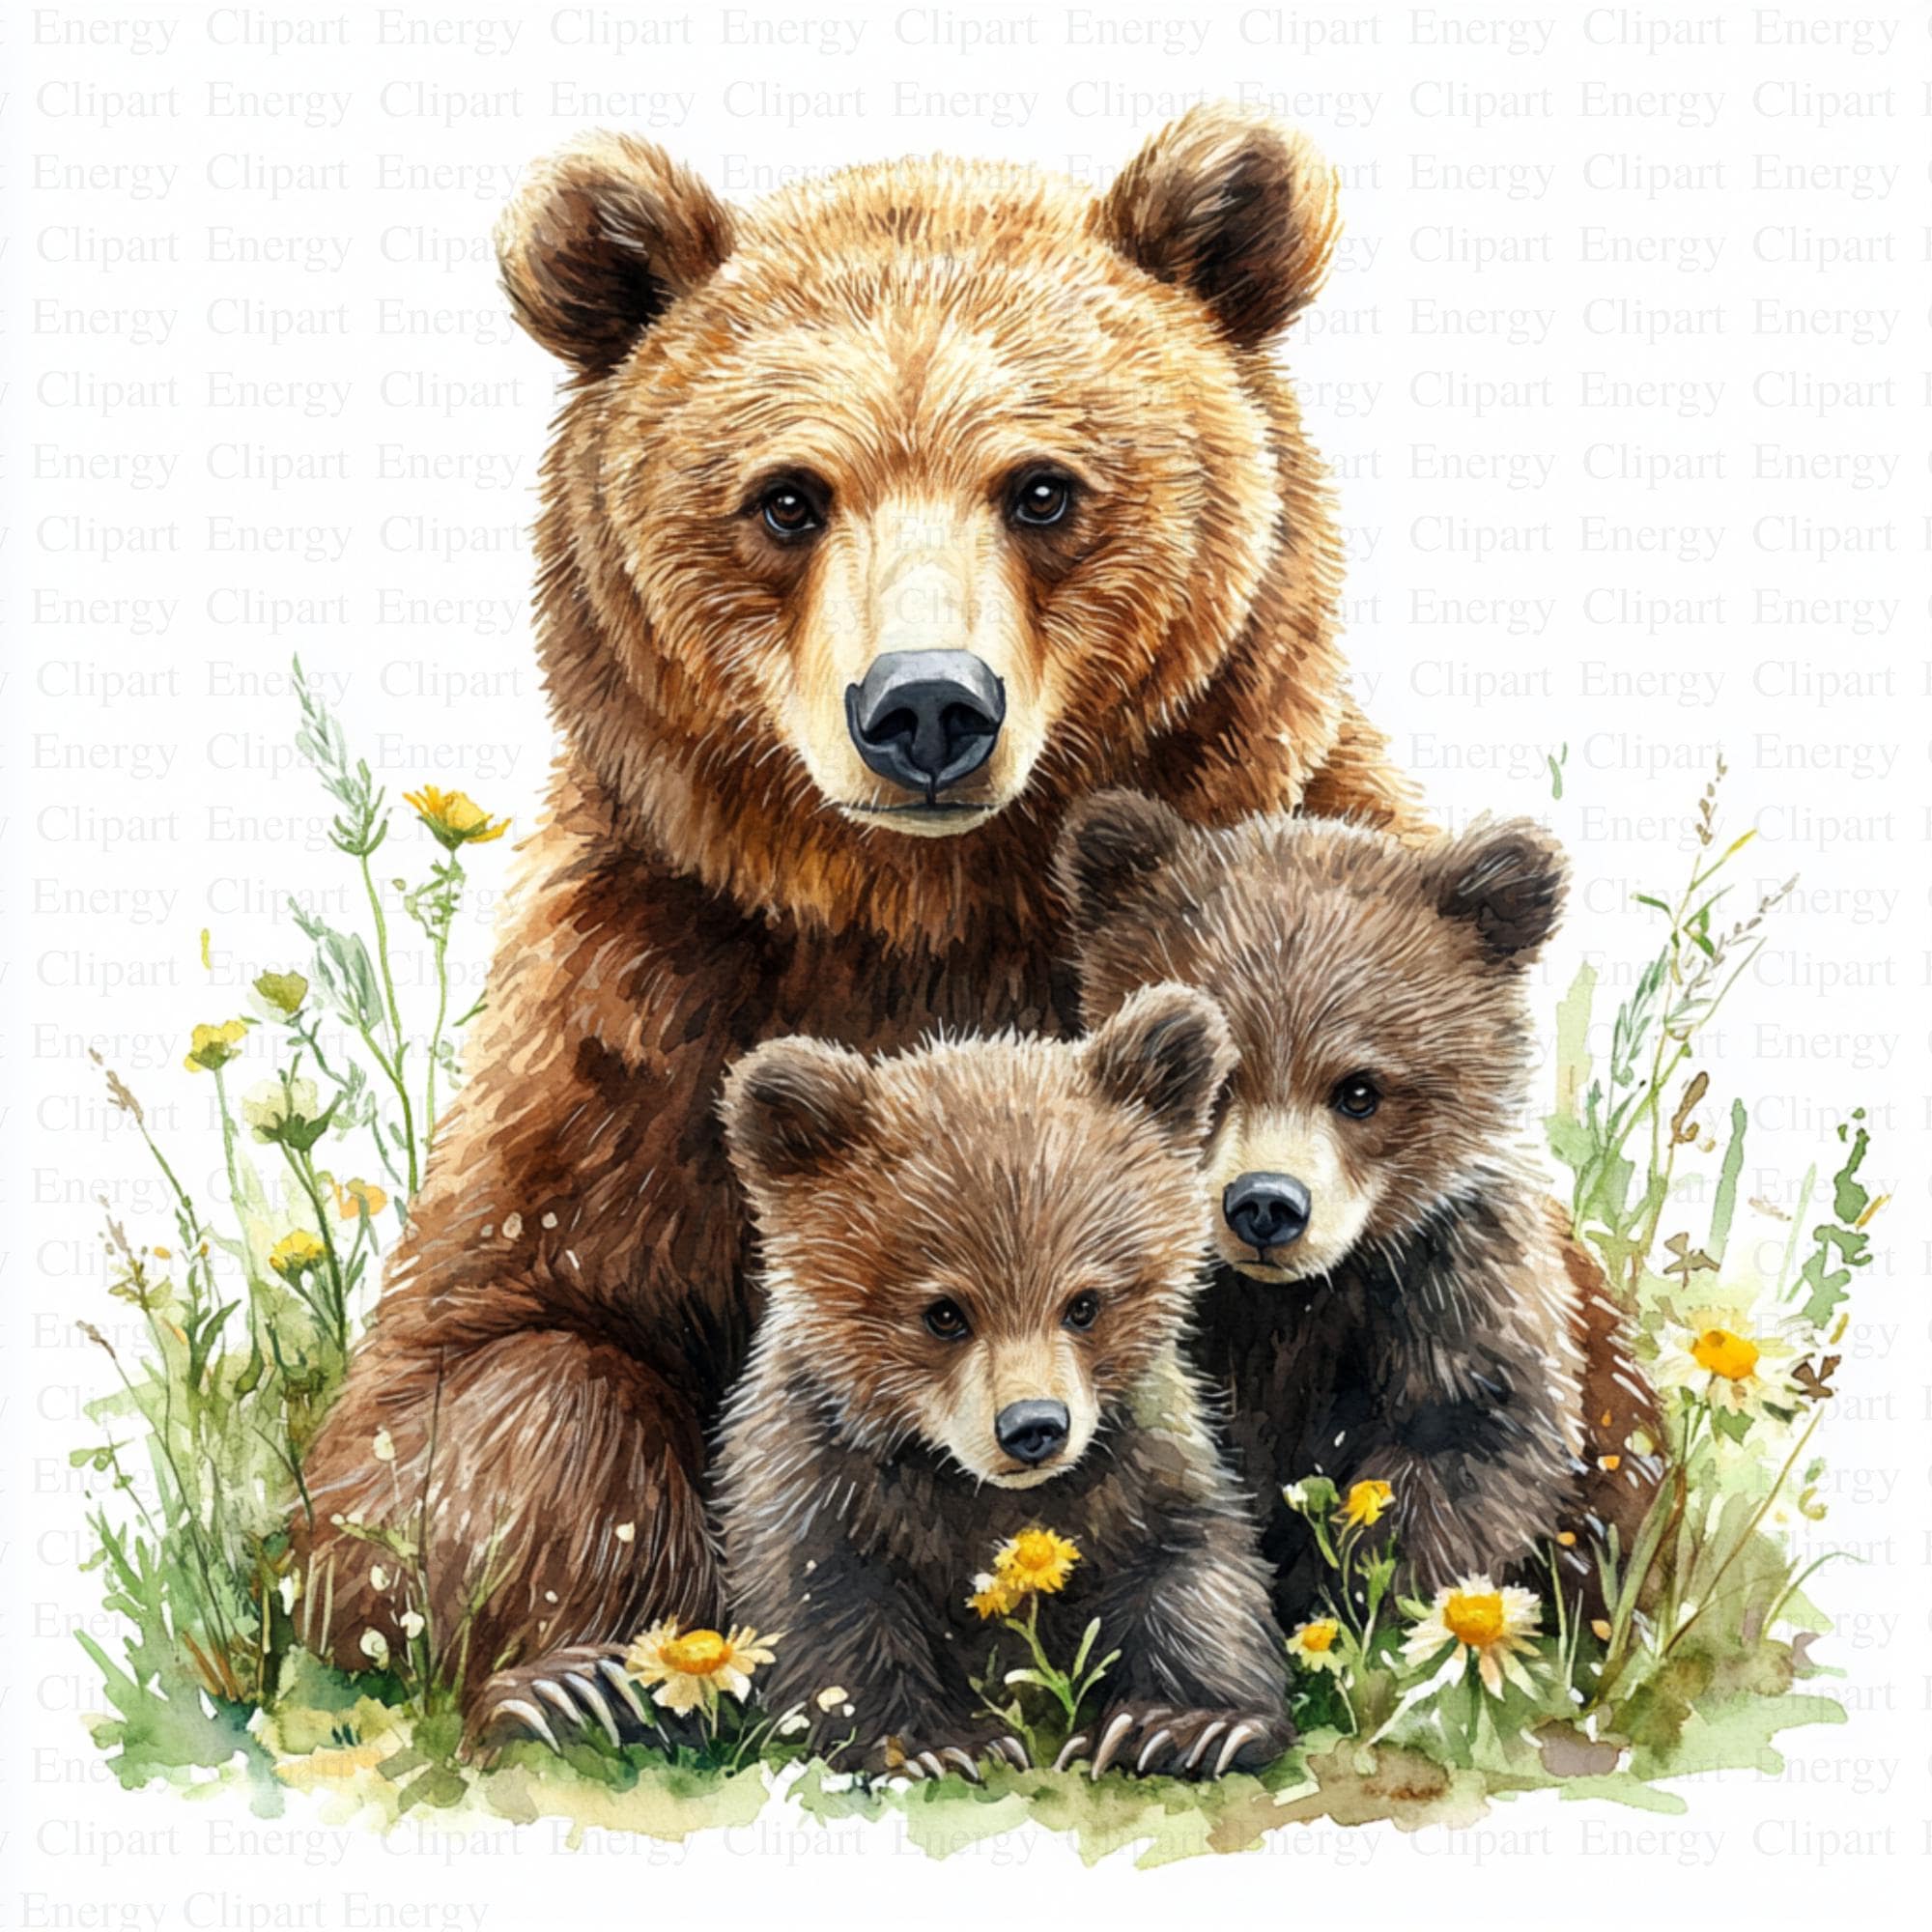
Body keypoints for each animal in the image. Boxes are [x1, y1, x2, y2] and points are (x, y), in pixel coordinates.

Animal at [713, 985, 1292, 1781]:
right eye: (943, 1313)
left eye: (1085, 1303)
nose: (1034, 1426)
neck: (976, 1492)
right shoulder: (823, 1469)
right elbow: (828, 1600)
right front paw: (932, 1746)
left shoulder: (1138, 1452)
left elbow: (1191, 1564)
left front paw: (1183, 1726)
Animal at [1051, 793, 1661, 1630]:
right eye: (1219, 1078)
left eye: (1360, 1090)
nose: (1266, 1205)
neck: (1289, 1304)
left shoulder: (1445, 1281)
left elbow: (1462, 1452)